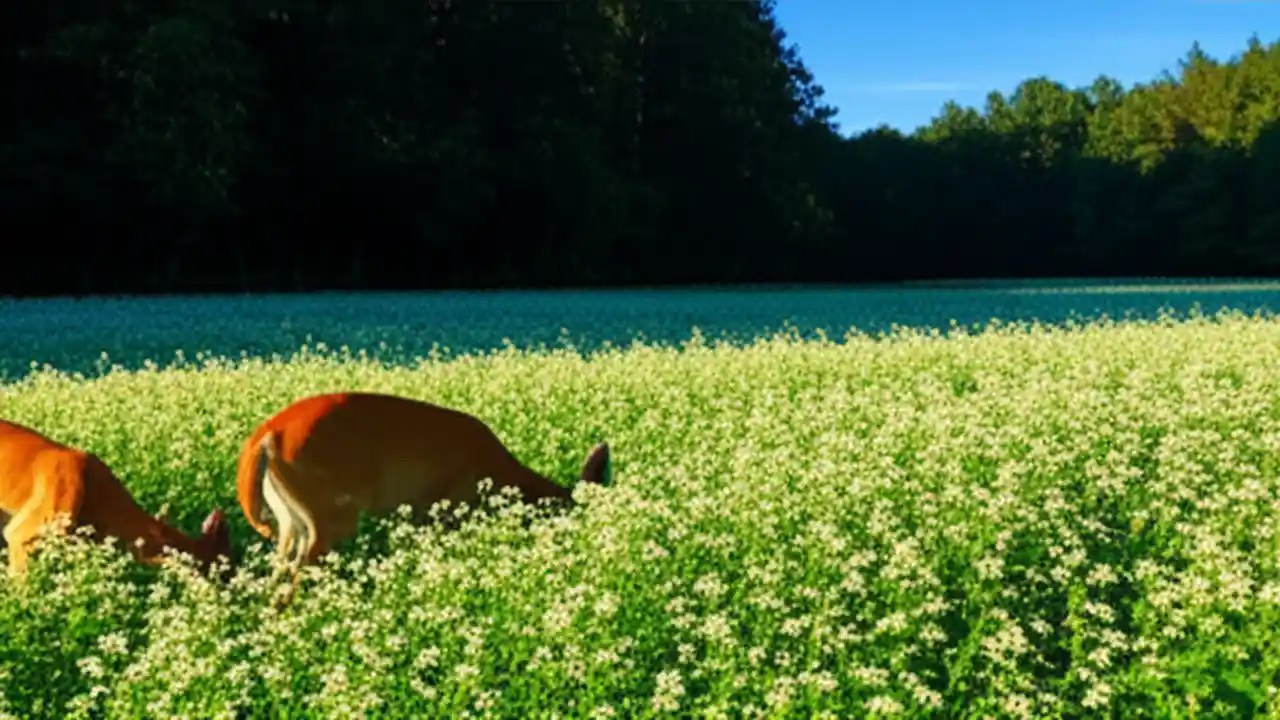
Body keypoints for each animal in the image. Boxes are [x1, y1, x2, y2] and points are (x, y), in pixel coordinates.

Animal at [236, 391, 612, 575]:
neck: (498, 472)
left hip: (289, 522)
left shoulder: (421, 516)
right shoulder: (452, 506)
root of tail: (266, 436)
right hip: (329, 515)